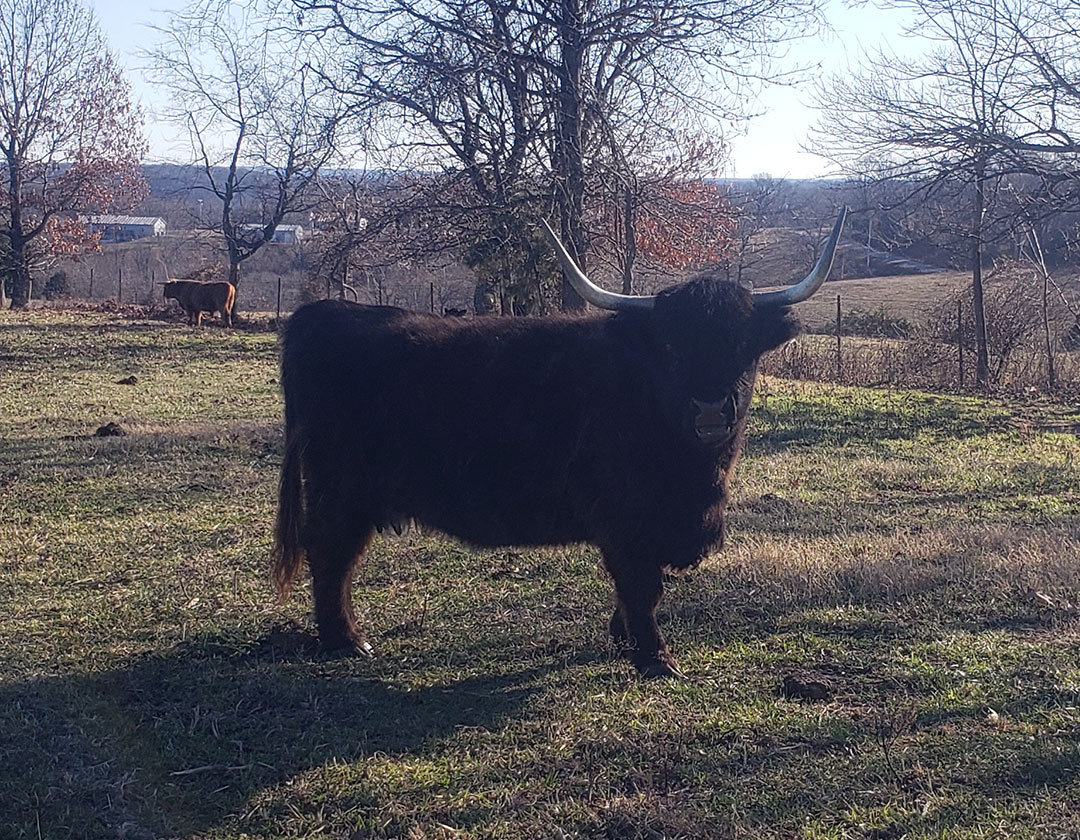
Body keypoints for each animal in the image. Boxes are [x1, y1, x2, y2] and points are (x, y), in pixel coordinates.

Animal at [272, 208, 848, 677]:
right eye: (669, 346)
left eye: (744, 345)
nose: (709, 410)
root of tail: (318, 315)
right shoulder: (624, 519)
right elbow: (642, 585)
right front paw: (654, 658)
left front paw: (623, 638)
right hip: (339, 488)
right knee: (330, 554)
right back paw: (346, 641)